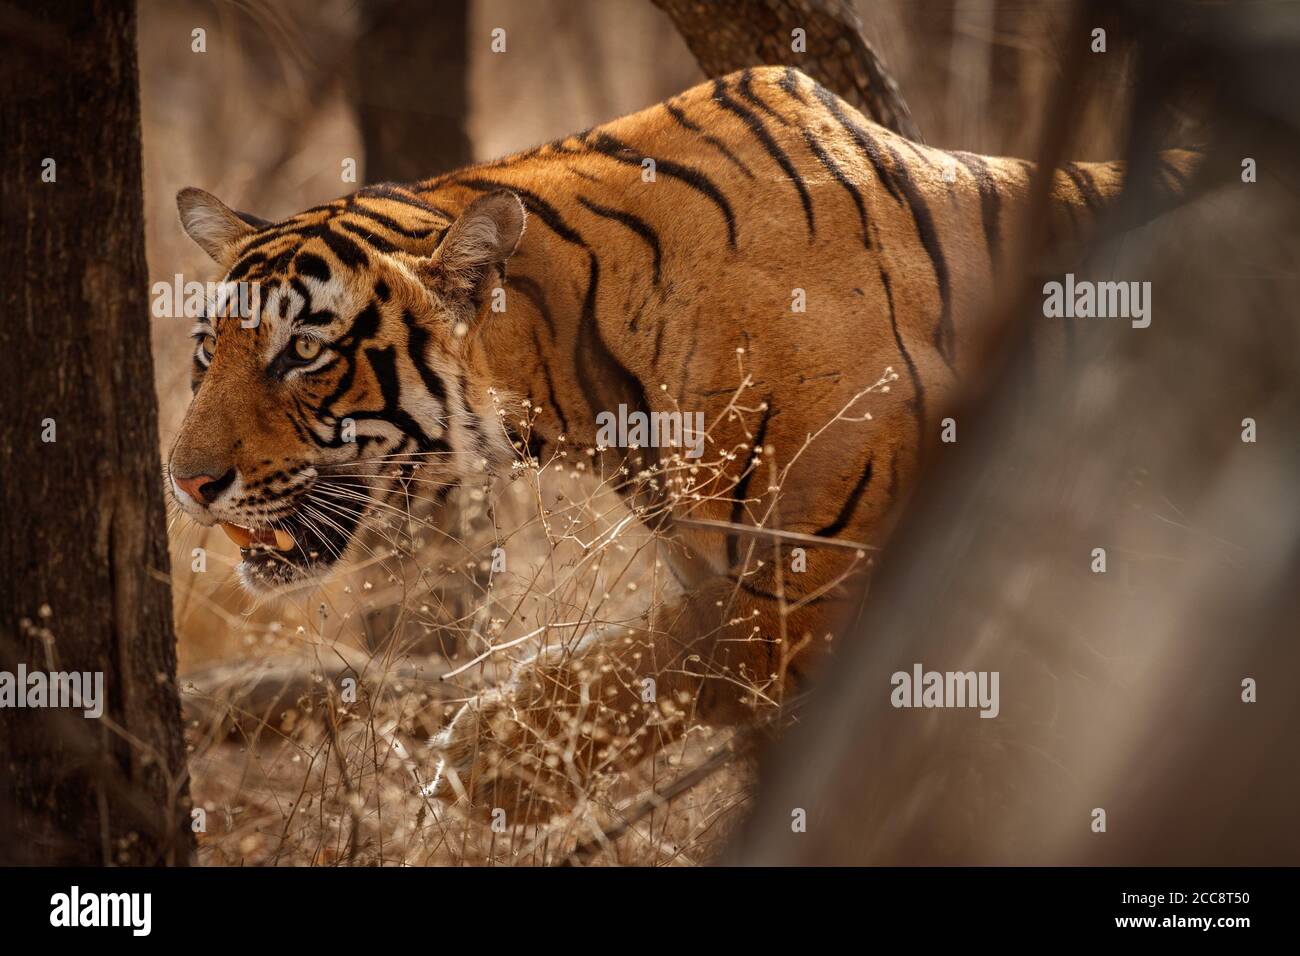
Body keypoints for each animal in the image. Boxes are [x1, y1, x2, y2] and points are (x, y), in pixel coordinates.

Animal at [167, 66, 1195, 821]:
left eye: (303, 354)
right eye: (209, 351)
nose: (186, 483)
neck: (582, 386)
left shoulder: (825, 576)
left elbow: (683, 669)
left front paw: (483, 769)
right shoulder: (727, 570)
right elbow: (659, 656)